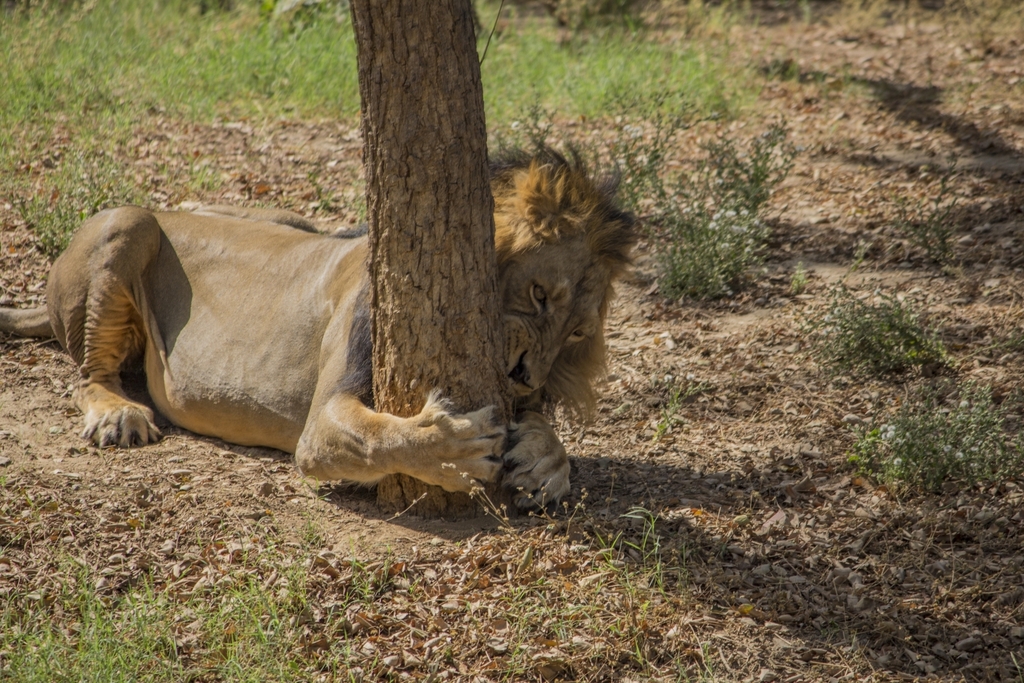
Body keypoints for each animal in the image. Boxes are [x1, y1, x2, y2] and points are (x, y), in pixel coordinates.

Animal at [0, 149, 636, 508]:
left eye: (577, 334)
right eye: (539, 294)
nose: (528, 378)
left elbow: (550, 443)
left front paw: (546, 462)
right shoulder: (326, 412)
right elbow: (377, 434)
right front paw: (452, 447)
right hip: (130, 221)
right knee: (88, 375)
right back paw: (118, 413)